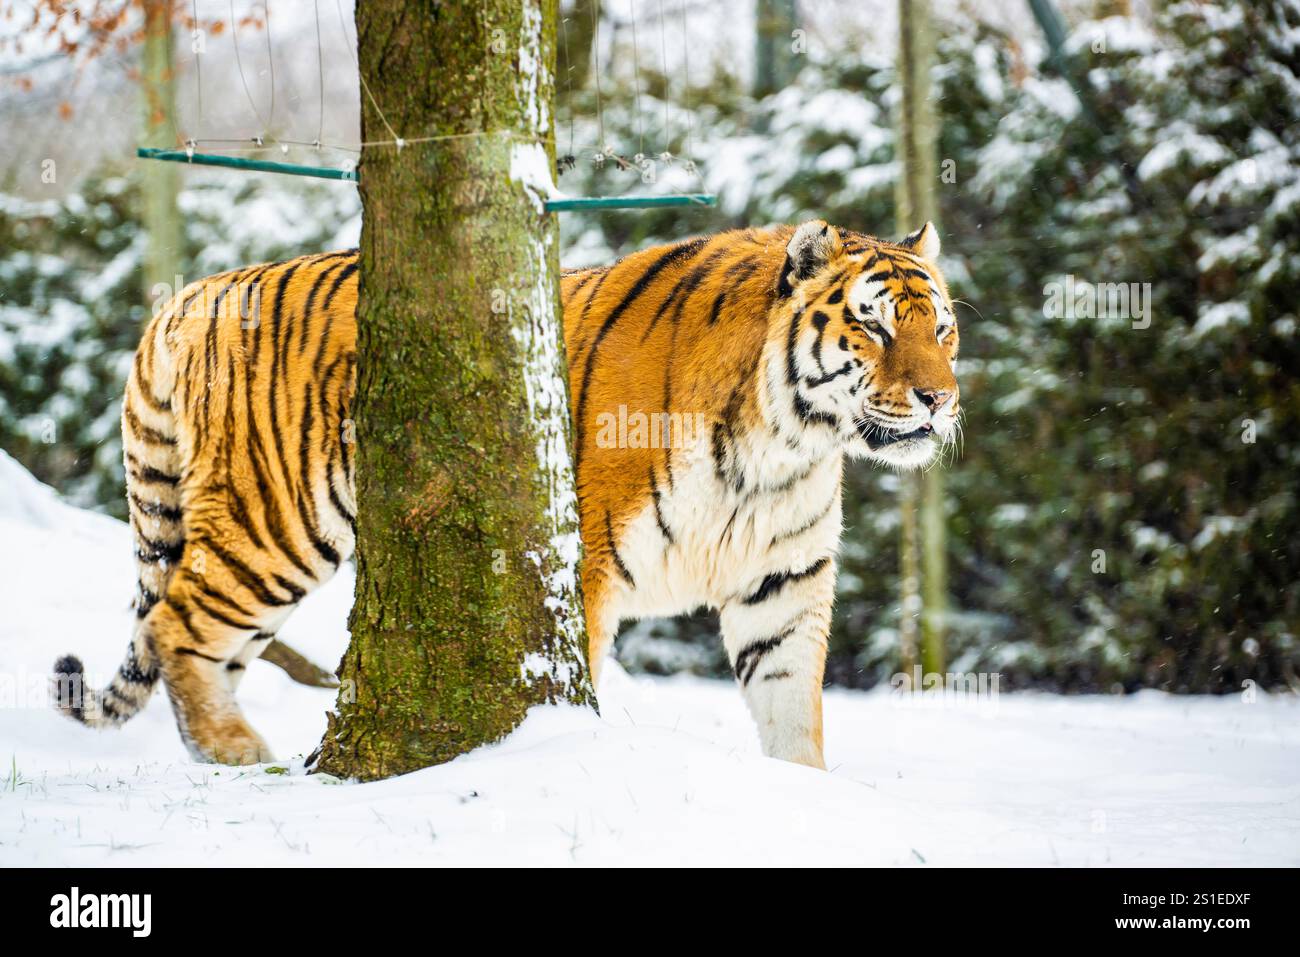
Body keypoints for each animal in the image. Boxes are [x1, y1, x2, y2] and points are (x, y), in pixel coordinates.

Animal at [52, 219, 960, 769]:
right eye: (874, 324)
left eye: (942, 328)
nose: (939, 398)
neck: (786, 445)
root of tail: (185, 300)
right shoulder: (586, 566)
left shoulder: (782, 584)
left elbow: (792, 714)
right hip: (275, 522)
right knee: (176, 625)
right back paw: (245, 754)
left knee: (199, 644)